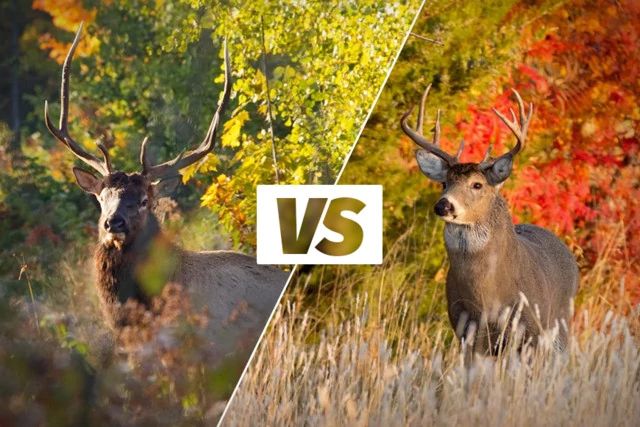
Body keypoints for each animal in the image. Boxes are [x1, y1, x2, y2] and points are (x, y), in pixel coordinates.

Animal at [401, 85, 579, 354]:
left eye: (477, 184)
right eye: (444, 183)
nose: (443, 205)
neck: (487, 297)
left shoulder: (530, 330)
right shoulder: (467, 330)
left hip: (560, 325)